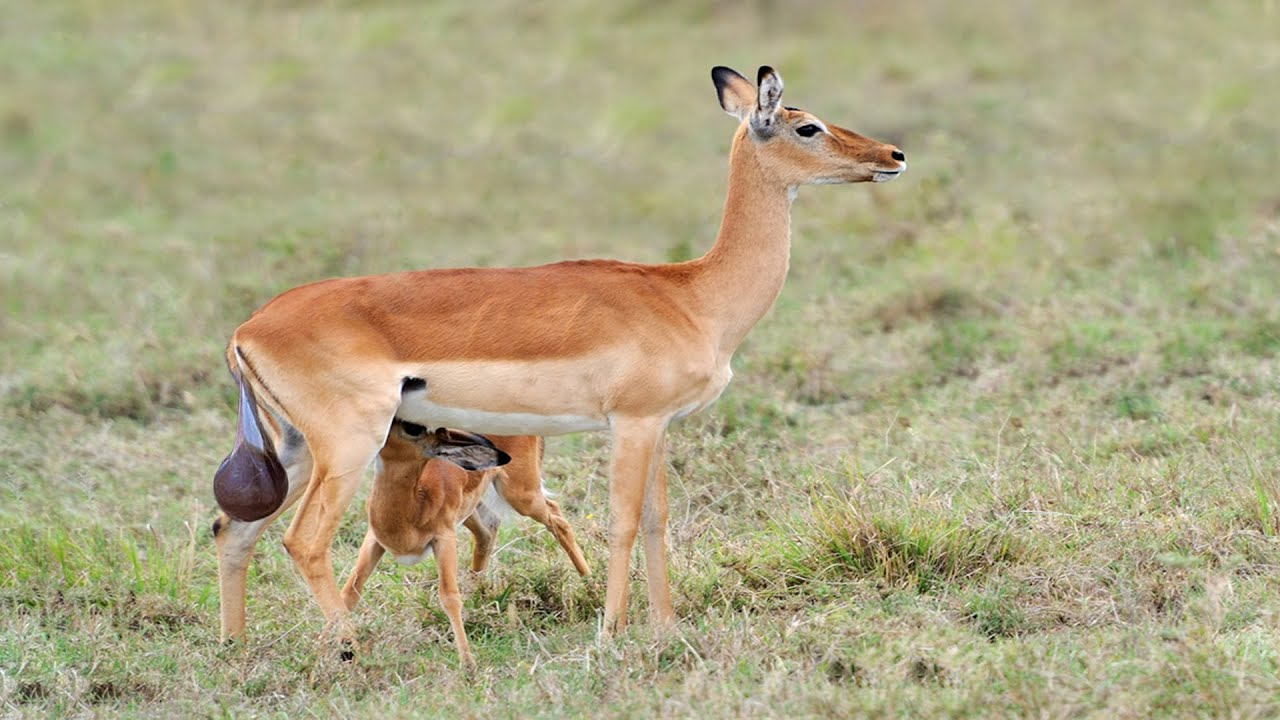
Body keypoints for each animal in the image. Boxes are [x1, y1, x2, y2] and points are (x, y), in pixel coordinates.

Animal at [338, 422, 588, 669]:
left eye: (412, 427)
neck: (416, 503)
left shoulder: (444, 538)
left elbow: (449, 597)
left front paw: (468, 665)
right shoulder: (374, 539)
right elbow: (348, 594)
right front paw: (341, 651)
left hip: (521, 495)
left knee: (557, 518)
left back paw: (589, 582)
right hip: (473, 509)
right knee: (486, 535)